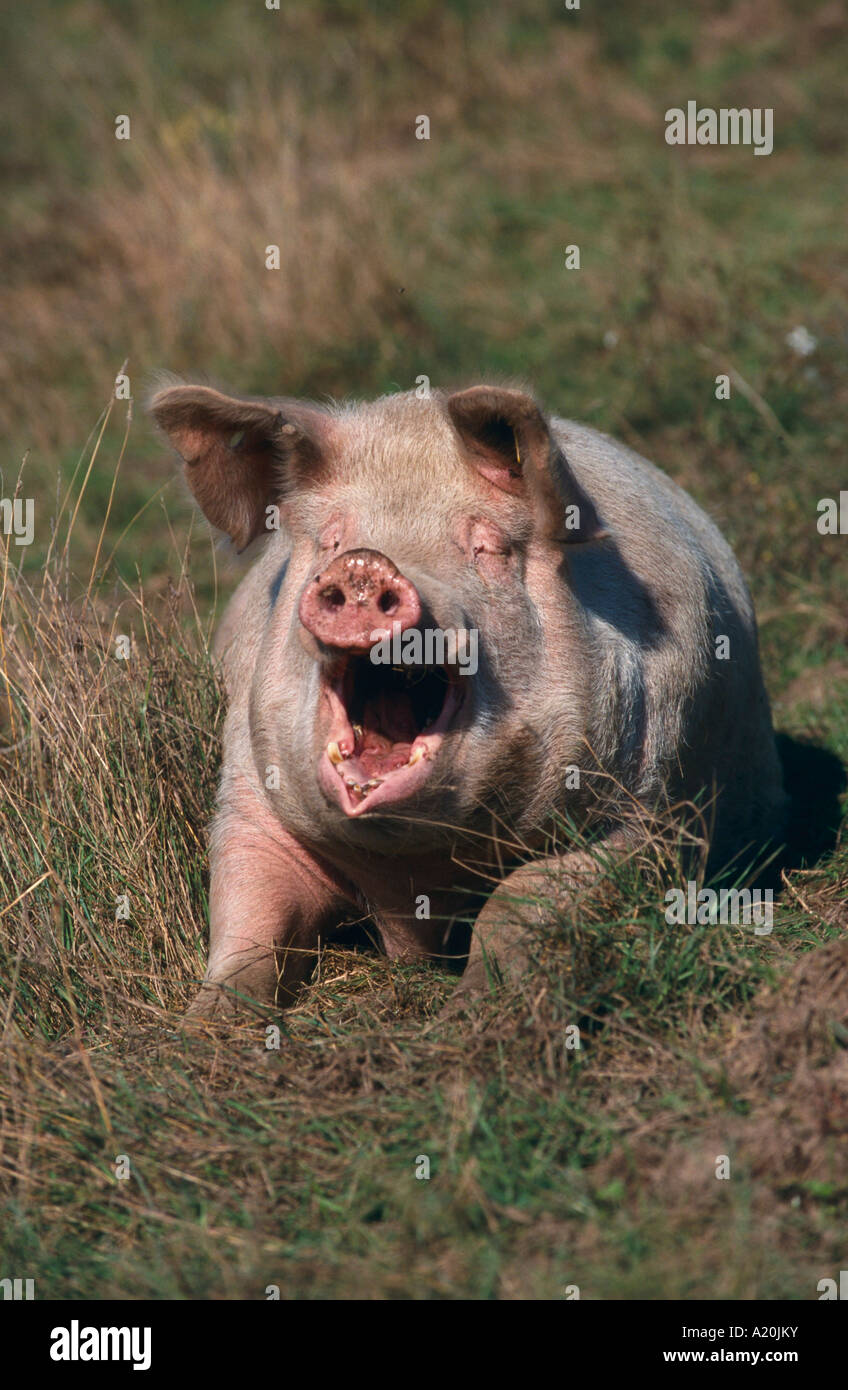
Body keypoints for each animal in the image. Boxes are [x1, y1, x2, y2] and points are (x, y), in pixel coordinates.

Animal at [149, 381, 787, 1015]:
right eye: (332, 539)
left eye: (487, 547)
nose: (365, 565)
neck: (413, 870)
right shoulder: (250, 795)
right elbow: (248, 915)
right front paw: (205, 1024)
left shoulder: (645, 813)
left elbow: (515, 905)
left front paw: (471, 1010)